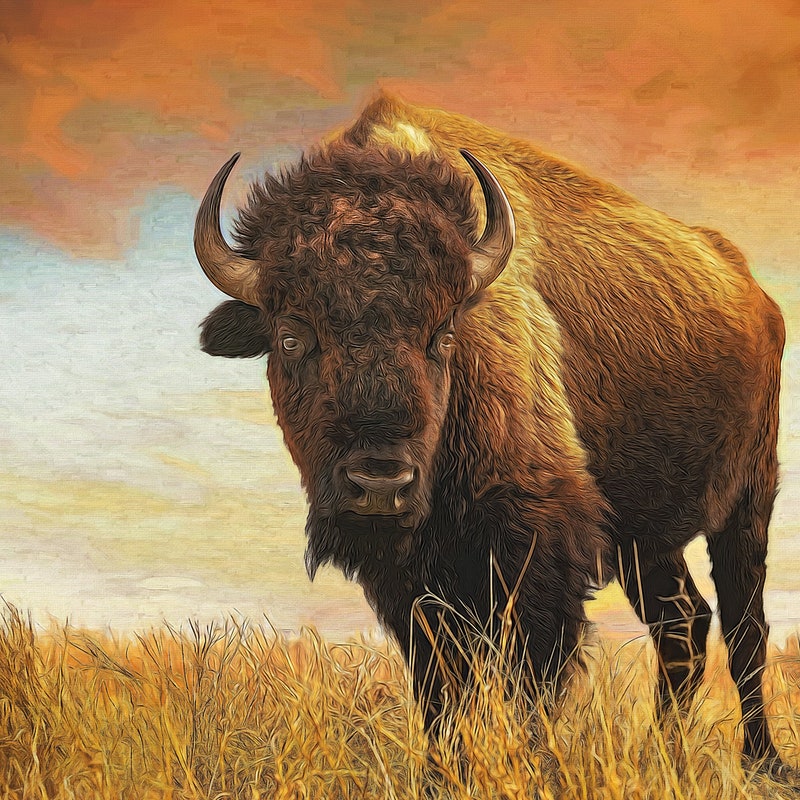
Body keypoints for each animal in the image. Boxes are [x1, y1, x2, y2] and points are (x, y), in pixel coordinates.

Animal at [195, 93, 786, 770]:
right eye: (291, 335)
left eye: (444, 333)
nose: (380, 484)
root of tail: (757, 295)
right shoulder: (411, 586)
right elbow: (440, 693)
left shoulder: (538, 556)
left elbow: (531, 681)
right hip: (645, 538)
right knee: (683, 623)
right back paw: (658, 754)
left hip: (748, 501)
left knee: (744, 627)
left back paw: (761, 761)